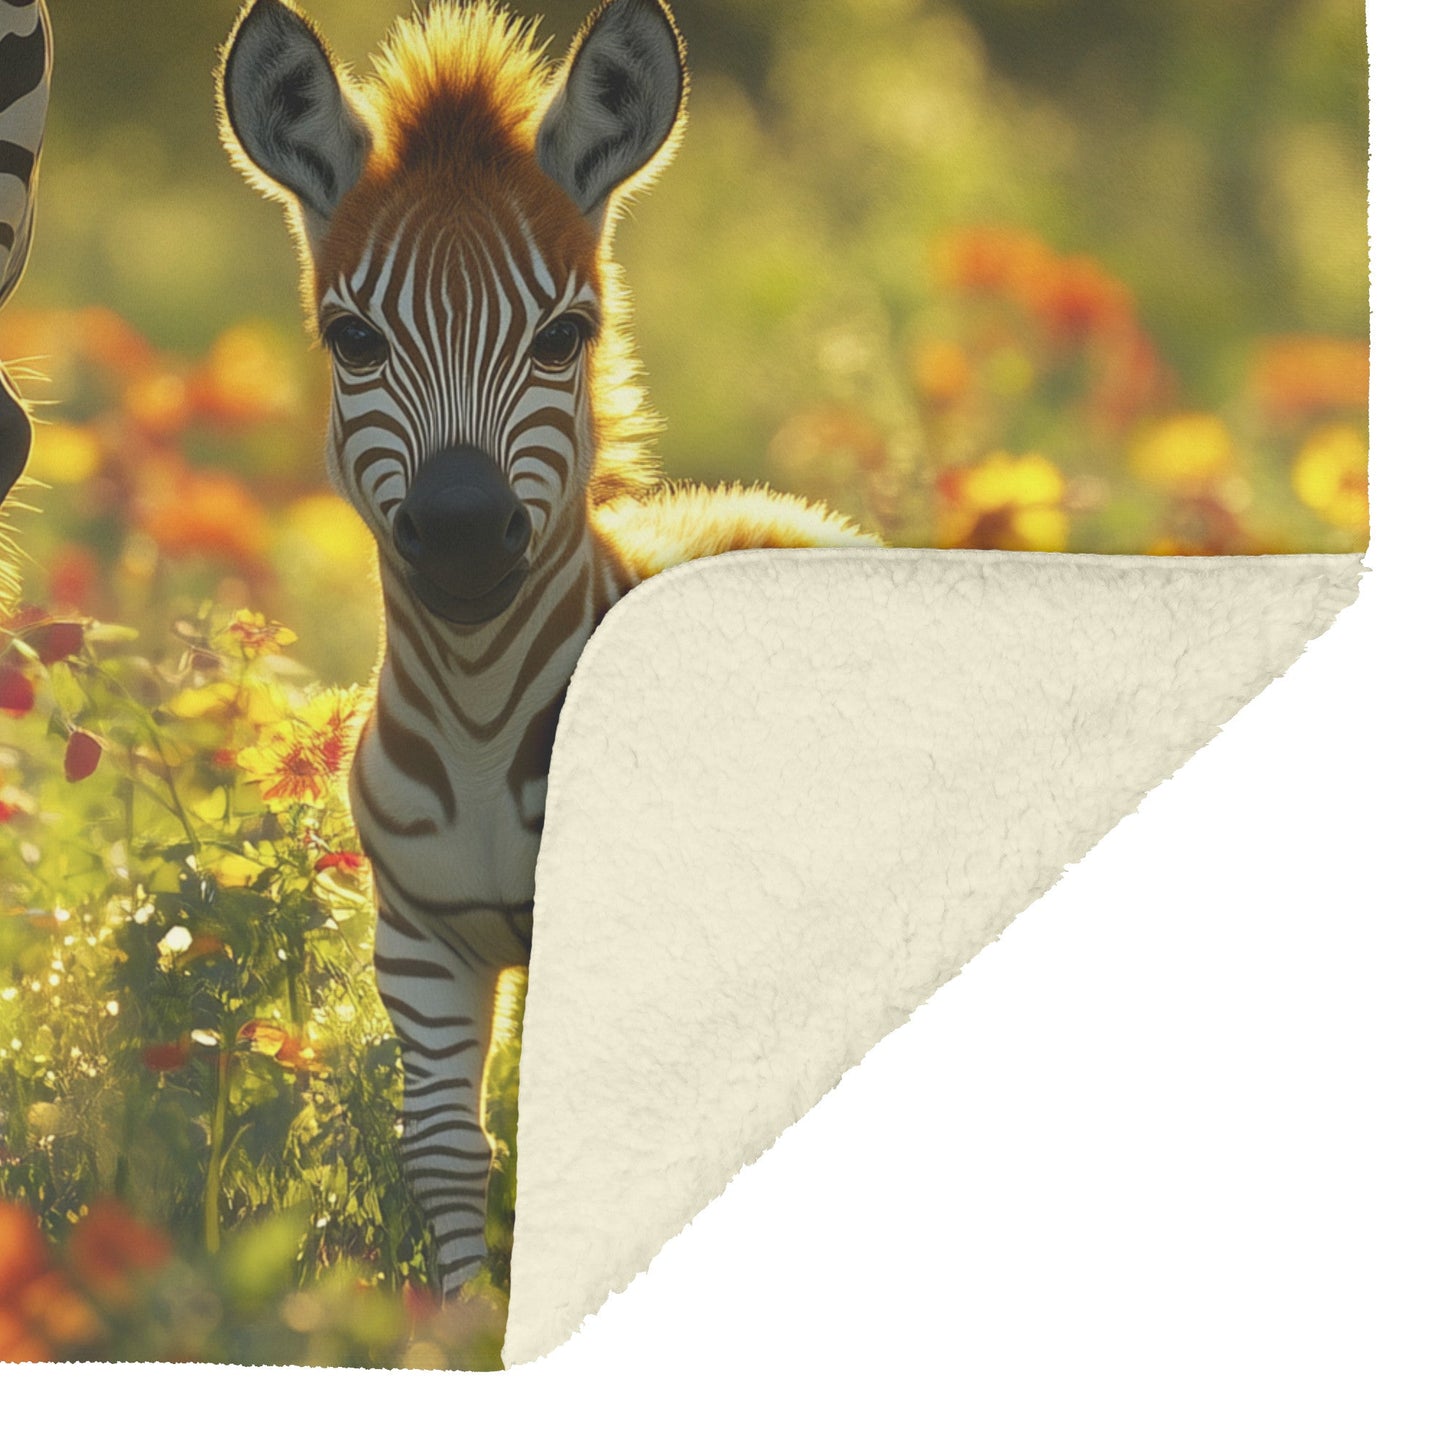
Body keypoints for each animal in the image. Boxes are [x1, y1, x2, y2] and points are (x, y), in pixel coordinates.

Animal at [220, 0, 878, 1294]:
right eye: (350, 337)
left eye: (566, 333)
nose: (464, 532)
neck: (478, 727)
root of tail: (802, 522)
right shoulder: (420, 934)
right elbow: (446, 1146)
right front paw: (463, 1323)